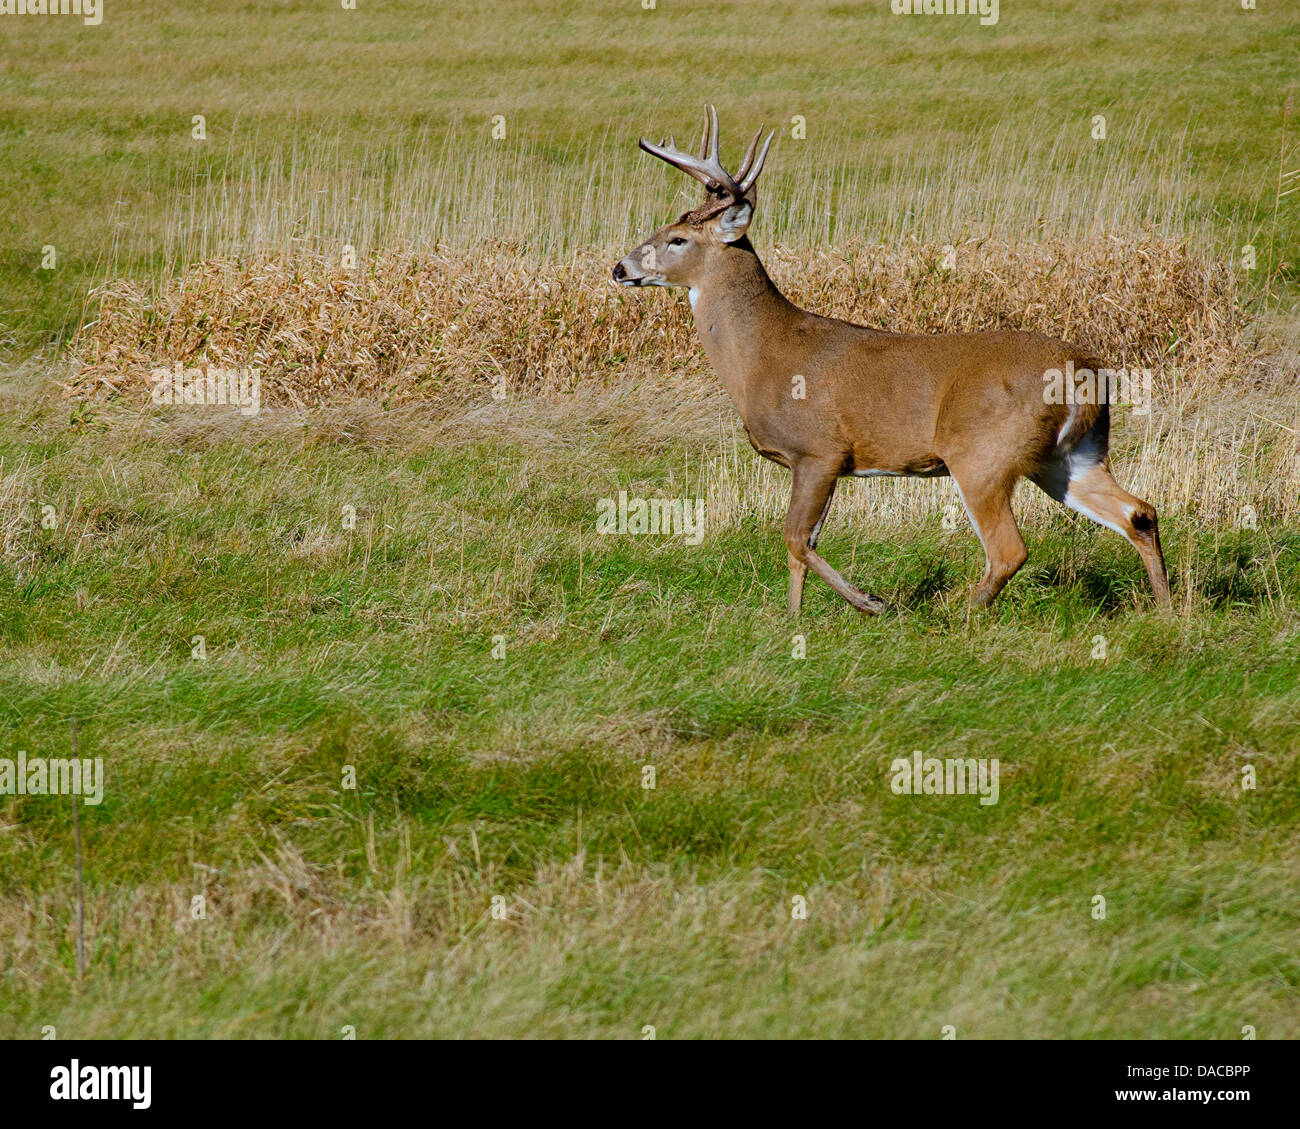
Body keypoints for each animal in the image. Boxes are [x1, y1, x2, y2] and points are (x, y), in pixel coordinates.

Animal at [612, 106, 1171, 615]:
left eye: (677, 239)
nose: (619, 267)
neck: (762, 356)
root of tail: (1085, 373)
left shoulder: (818, 450)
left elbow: (794, 538)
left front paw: (871, 602)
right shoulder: (826, 463)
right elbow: (801, 545)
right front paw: (793, 619)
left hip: (982, 454)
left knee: (1010, 550)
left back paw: (959, 616)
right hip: (1069, 456)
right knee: (1138, 512)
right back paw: (1168, 611)